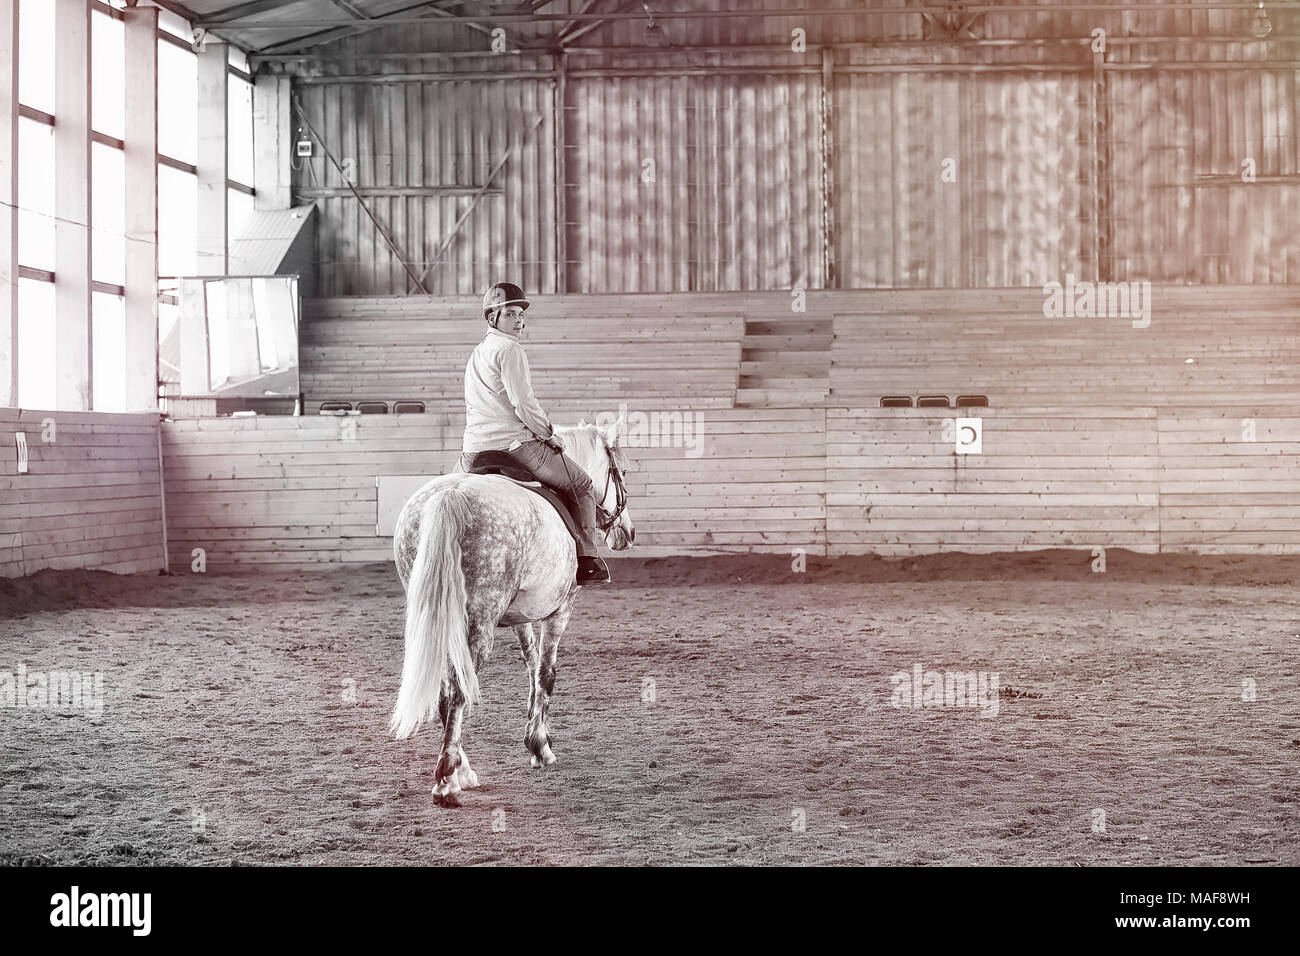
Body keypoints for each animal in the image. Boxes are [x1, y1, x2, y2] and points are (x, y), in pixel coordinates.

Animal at [389, 419, 635, 806]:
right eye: (622, 471)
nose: (628, 532)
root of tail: (451, 495)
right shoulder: (561, 608)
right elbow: (547, 674)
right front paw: (540, 747)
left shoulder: (522, 617)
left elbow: (531, 667)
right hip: (478, 626)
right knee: (456, 692)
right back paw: (447, 781)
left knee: (446, 692)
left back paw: (463, 771)